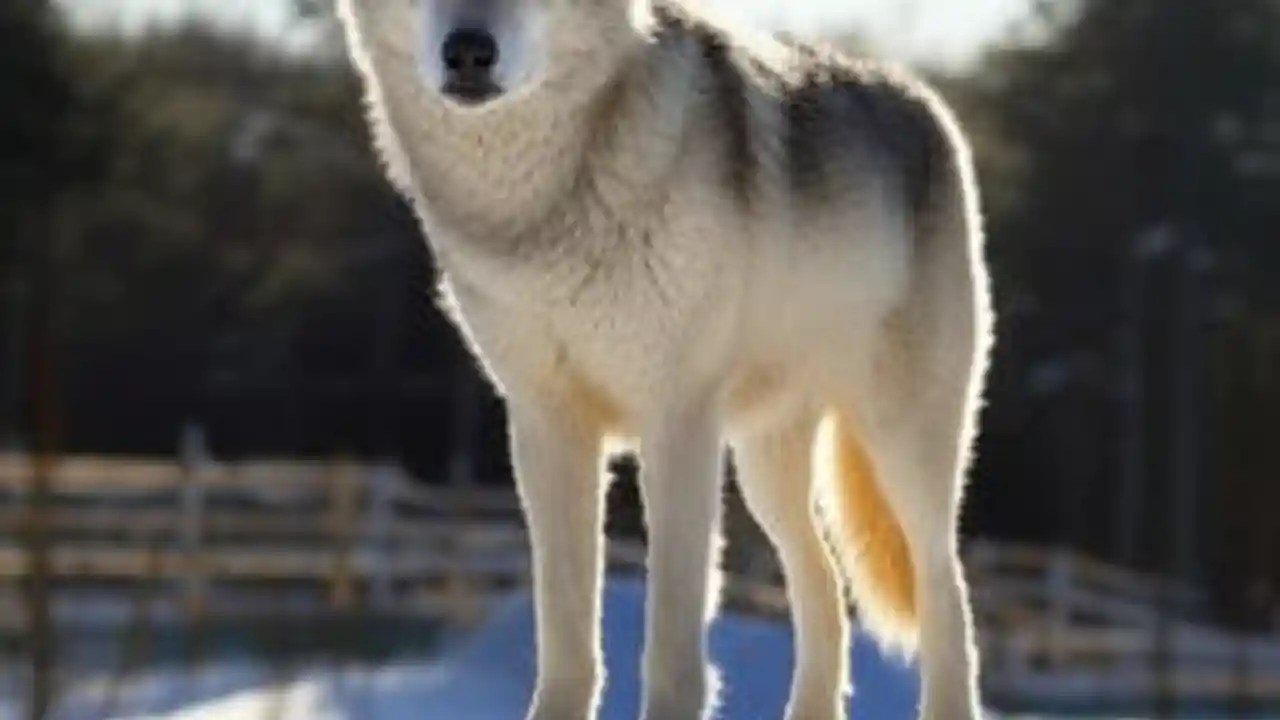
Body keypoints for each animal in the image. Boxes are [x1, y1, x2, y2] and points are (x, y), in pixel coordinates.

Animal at [337, 0, 992, 718]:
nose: (468, 54)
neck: (540, 212)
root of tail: (928, 102)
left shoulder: (677, 422)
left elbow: (673, 642)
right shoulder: (545, 426)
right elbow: (566, 638)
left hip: (903, 449)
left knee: (946, 594)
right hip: (765, 468)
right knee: (821, 582)